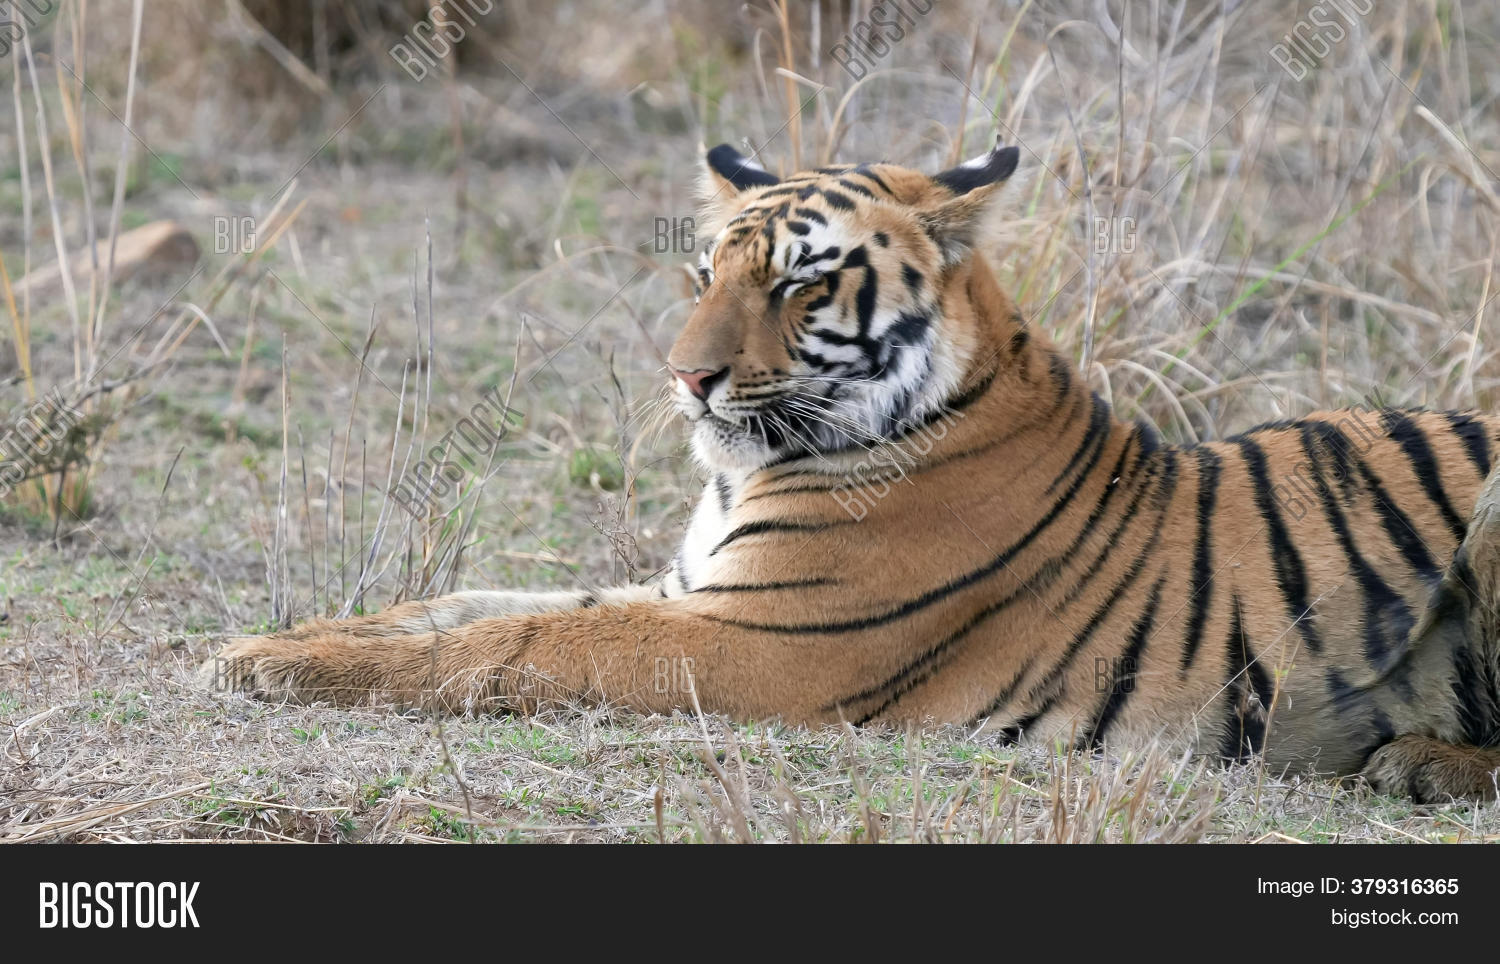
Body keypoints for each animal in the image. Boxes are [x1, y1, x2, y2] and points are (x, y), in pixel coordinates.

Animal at [202, 138, 1500, 802]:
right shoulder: (691, 588)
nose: (686, 377)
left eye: (798, 281)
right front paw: (269, 646)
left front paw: (273, 667)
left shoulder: (760, 638)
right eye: (706, 274)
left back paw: (1422, 764)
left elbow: (524, 640)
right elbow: (452, 605)